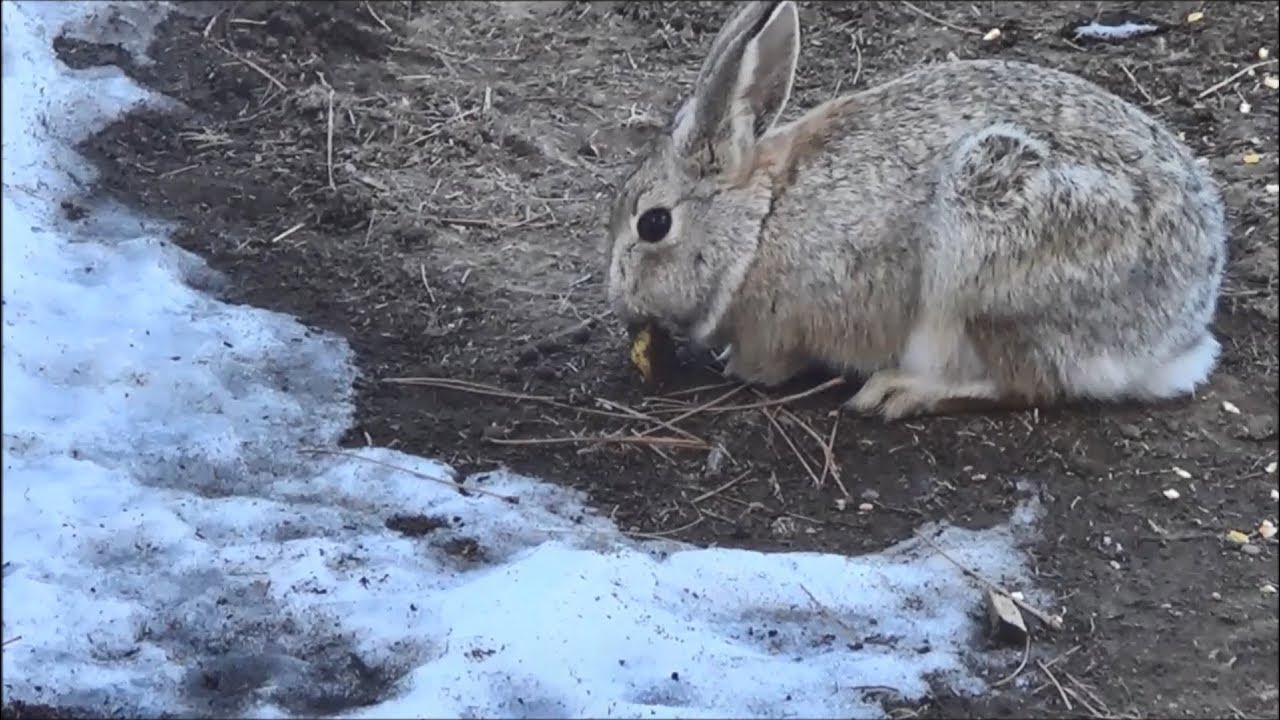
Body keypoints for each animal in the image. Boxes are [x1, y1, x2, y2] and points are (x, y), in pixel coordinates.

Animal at [604, 0, 1227, 420]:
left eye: (654, 223)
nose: (619, 296)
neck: (758, 223)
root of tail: (1176, 335)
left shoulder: (790, 321)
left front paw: (738, 367)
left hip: (991, 257)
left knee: (1030, 382)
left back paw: (898, 391)